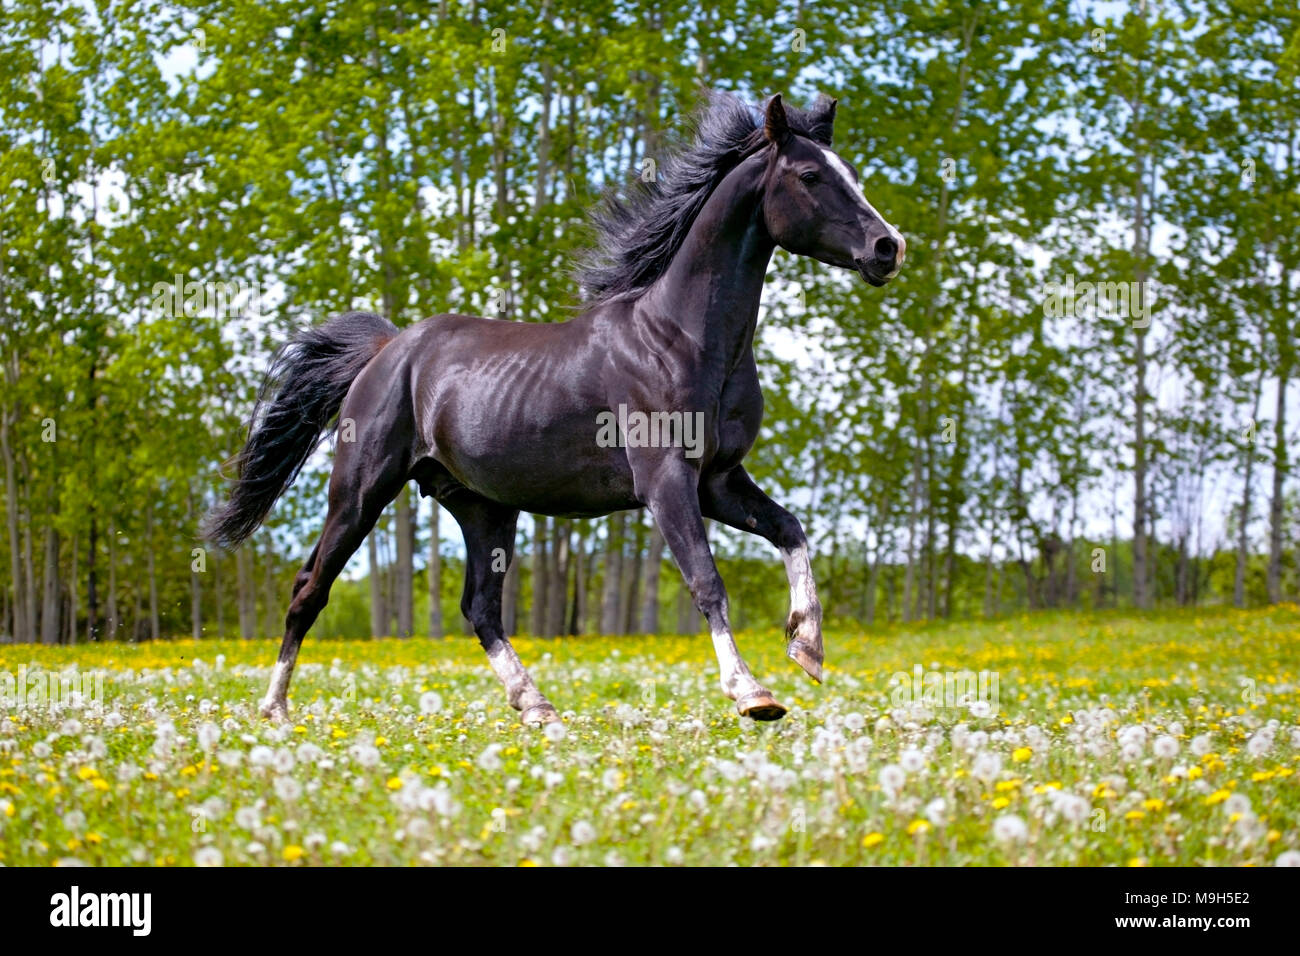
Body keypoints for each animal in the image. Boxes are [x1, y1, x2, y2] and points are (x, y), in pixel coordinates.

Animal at [204, 92, 905, 725]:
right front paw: (753, 694)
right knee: (310, 590)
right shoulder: (666, 480)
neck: (681, 338)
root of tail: (386, 352)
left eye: (853, 175)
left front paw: (807, 647)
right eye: (810, 176)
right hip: (360, 491)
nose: (888, 247)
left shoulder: (719, 480)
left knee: (480, 608)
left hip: (483, 507)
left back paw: (535, 704)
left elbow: (790, 529)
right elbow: (707, 580)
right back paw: (274, 708)